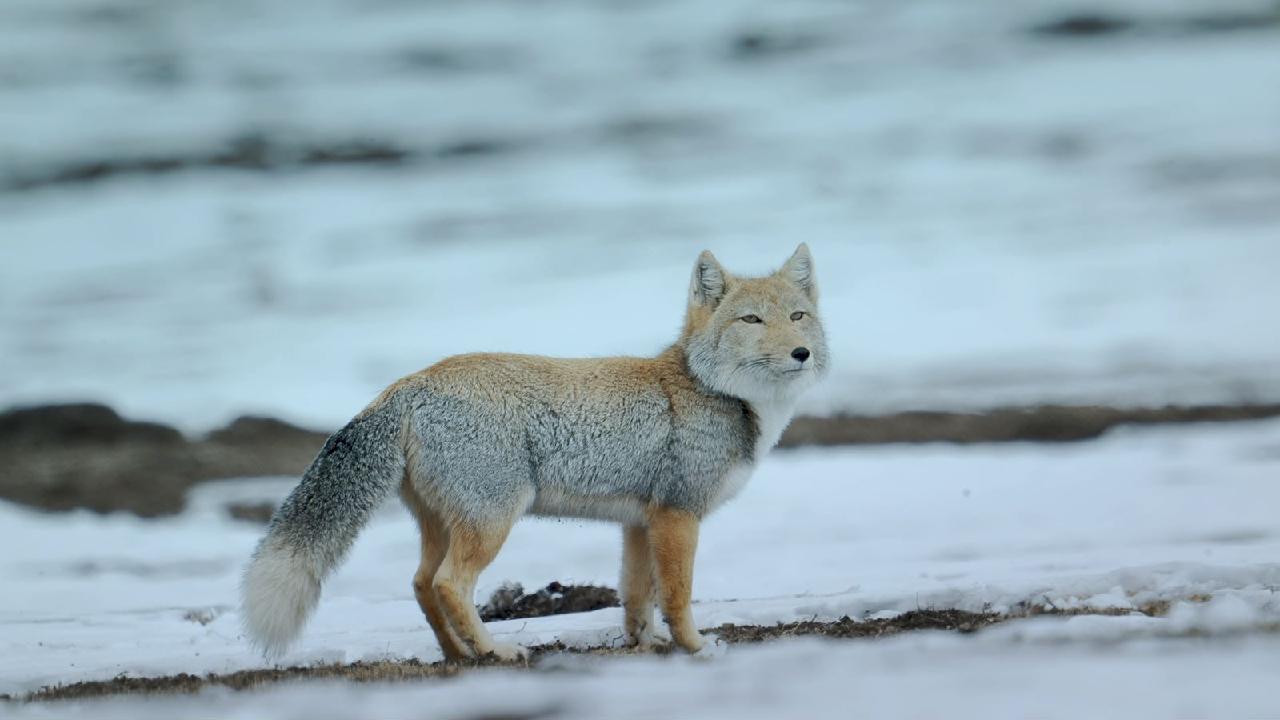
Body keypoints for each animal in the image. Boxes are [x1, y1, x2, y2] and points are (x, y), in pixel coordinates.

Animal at [241, 244, 828, 661]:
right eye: (751, 321)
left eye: (798, 316)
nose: (801, 353)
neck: (715, 393)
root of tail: (409, 383)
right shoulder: (678, 516)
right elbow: (677, 597)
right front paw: (696, 647)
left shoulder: (641, 523)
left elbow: (637, 598)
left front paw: (646, 645)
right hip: (492, 522)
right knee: (449, 585)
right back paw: (494, 649)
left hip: (445, 525)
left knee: (422, 584)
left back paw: (458, 654)